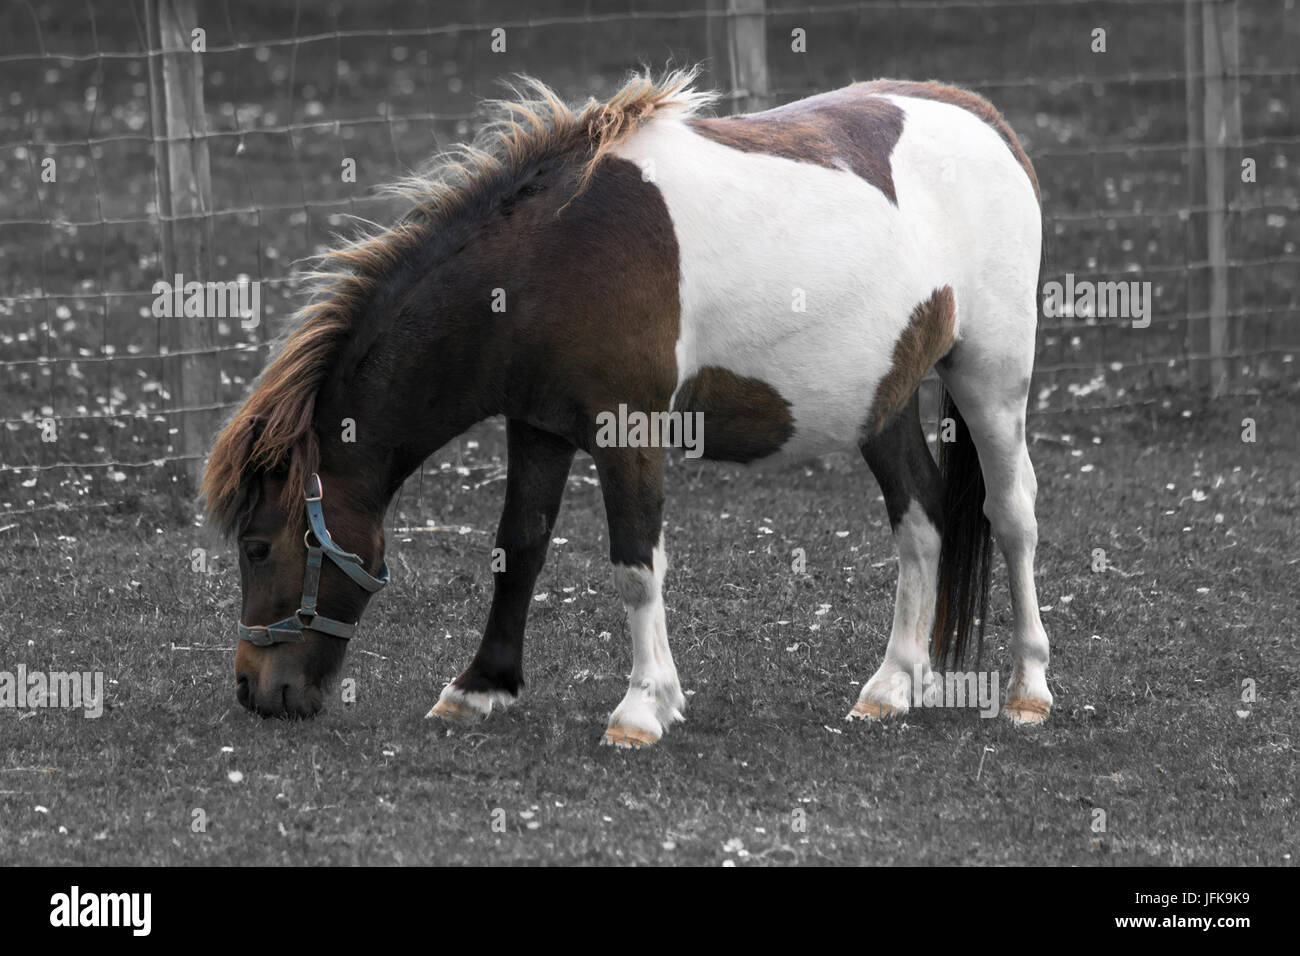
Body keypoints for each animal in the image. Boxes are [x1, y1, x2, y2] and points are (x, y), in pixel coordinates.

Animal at [202, 68, 1053, 747]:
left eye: (258, 548)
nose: (253, 690)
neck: (546, 264)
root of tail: (985, 119)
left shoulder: (628, 431)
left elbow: (638, 564)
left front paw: (644, 707)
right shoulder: (538, 428)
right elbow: (519, 549)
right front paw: (480, 687)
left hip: (990, 376)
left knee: (1012, 516)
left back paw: (1028, 691)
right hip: (883, 398)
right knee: (922, 519)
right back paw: (893, 685)